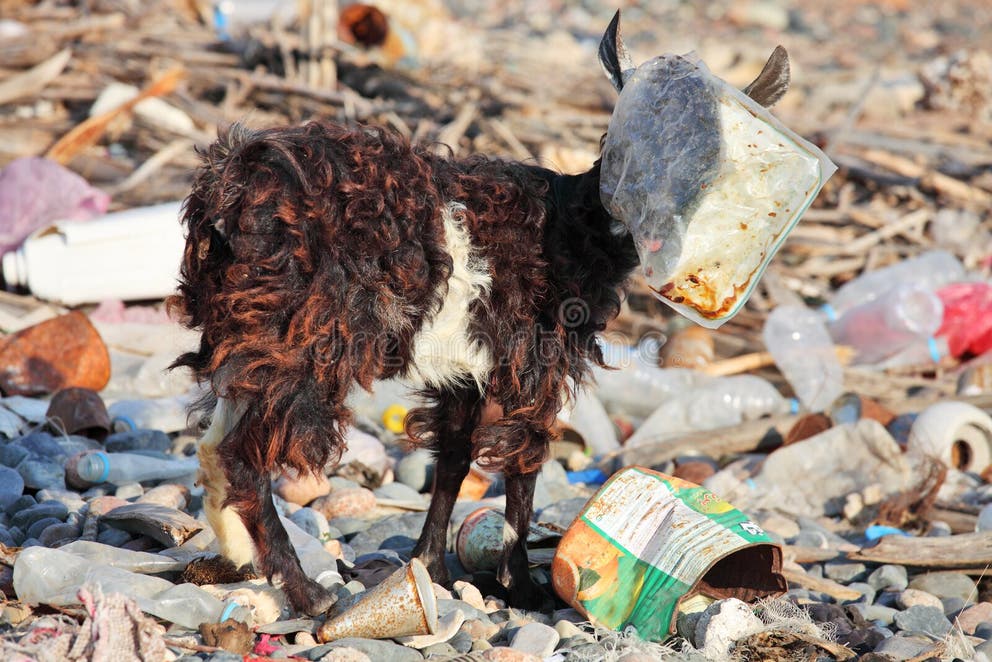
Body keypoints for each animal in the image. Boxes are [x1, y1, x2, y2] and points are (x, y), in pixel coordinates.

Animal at [170, 11, 791, 616]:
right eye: (628, 140)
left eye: (710, 162)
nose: (657, 229)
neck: (573, 225)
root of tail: (230, 189)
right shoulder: (535, 359)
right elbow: (524, 460)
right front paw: (522, 587)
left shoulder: (465, 367)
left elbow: (454, 457)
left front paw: (431, 567)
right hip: (304, 340)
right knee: (245, 452)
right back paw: (307, 593)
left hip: (249, 338)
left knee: (214, 443)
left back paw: (240, 563)